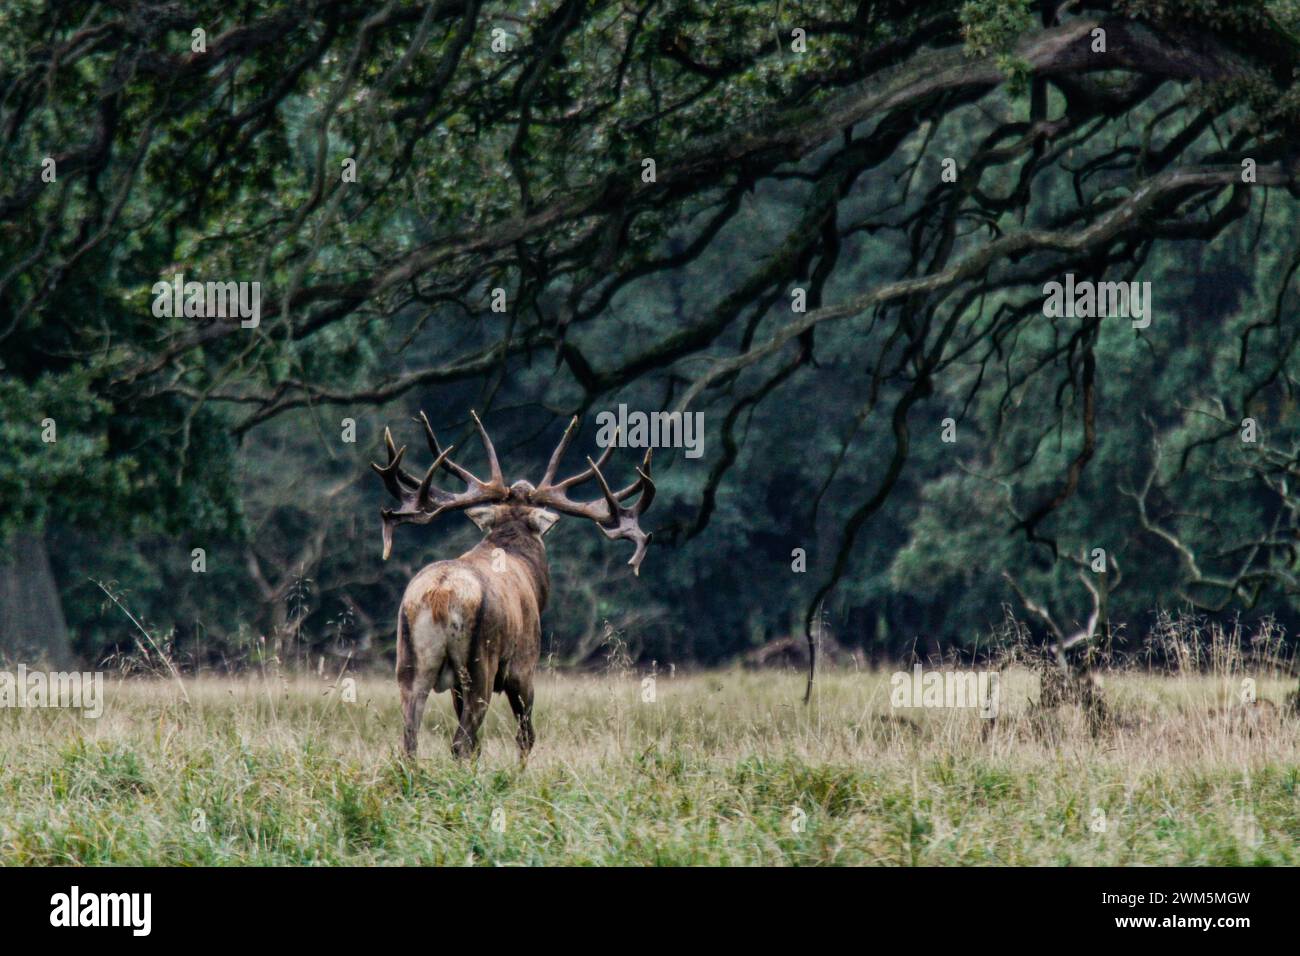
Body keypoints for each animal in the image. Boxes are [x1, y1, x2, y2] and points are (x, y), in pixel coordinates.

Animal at [372, 410, 654, 760]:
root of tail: (440, 595)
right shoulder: (524, 664)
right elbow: (526, 736)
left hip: (409, 663)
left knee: (412, 739)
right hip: (481, 662)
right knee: (462, 741)